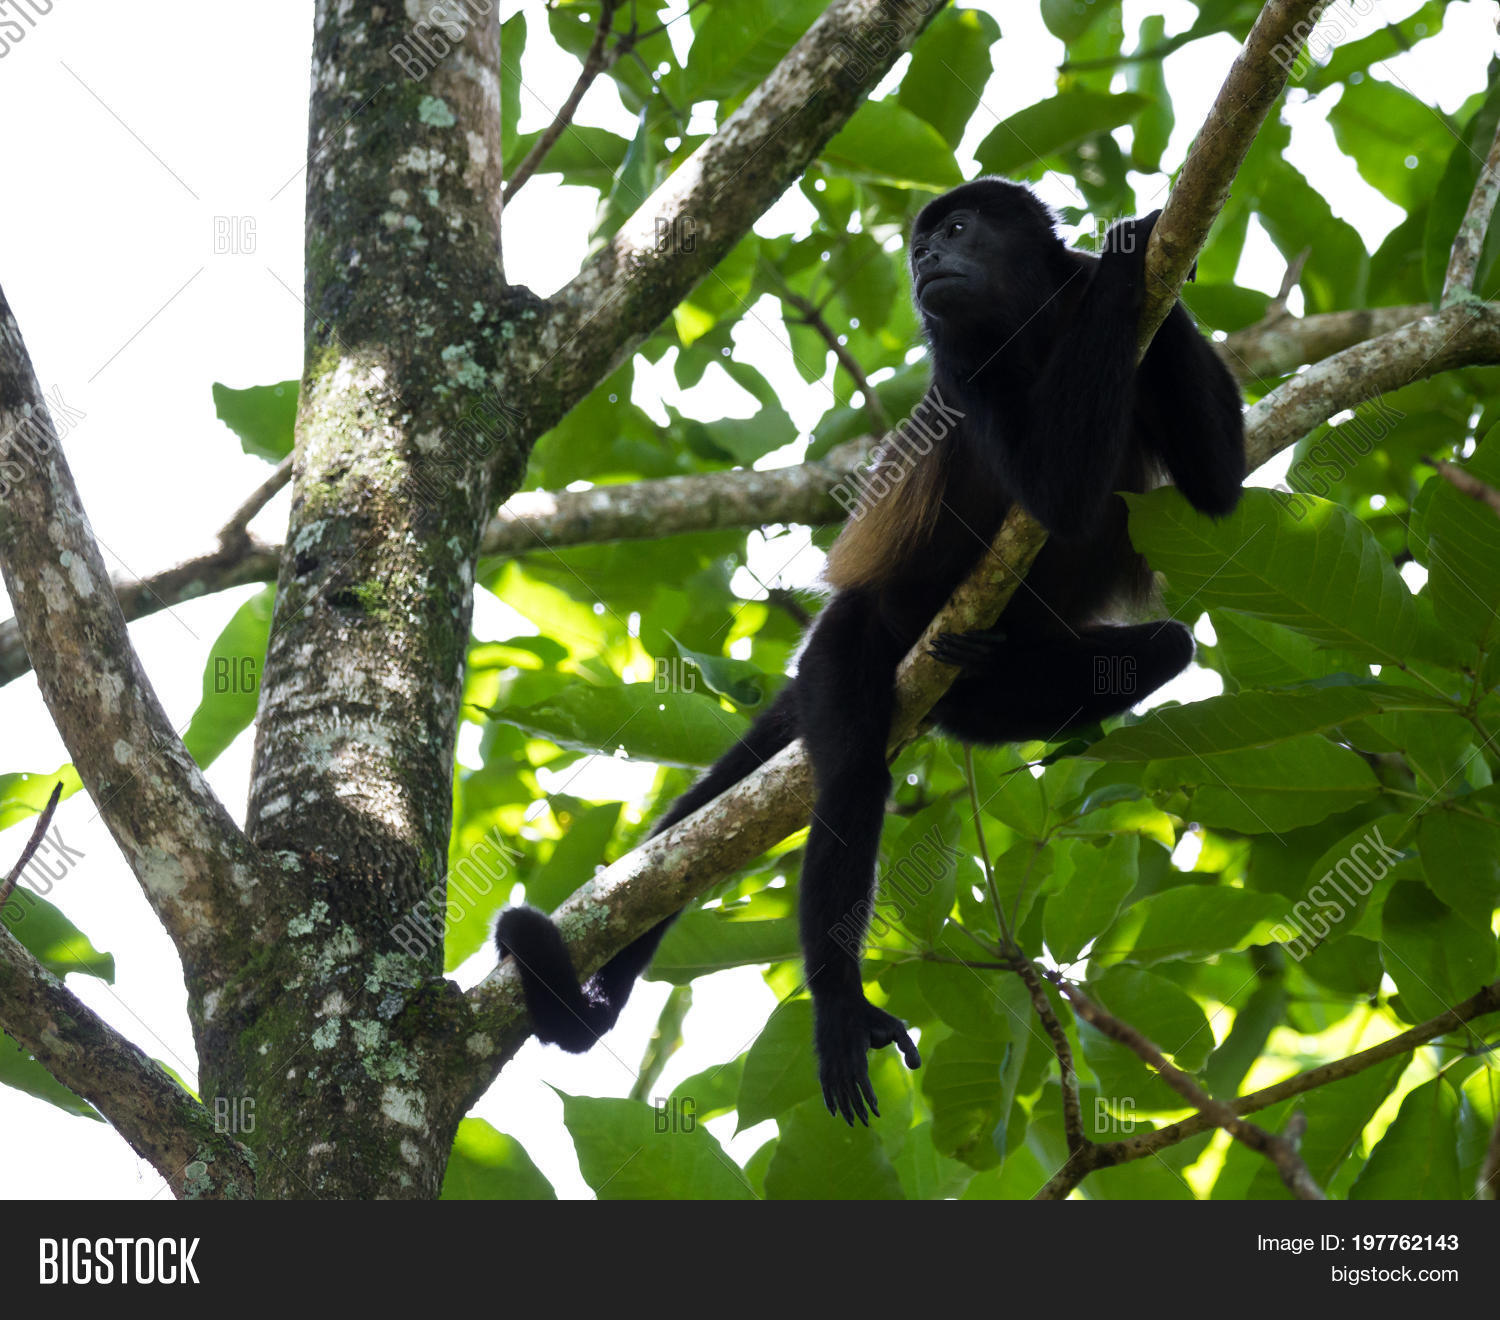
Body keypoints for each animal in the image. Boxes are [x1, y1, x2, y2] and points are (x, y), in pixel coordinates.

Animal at [496, 177, 1245, 1125]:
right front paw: (1123, 258)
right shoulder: (962, 365)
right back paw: (840, 1001)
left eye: (956, 230)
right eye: (920, 247)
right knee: (853, 777)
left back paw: (982, 680)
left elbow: (1217, 484)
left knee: (1167, 647)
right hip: (849, 639)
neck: (1034, 321)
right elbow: (1058, 493)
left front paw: (1150, 244)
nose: (927, 261)